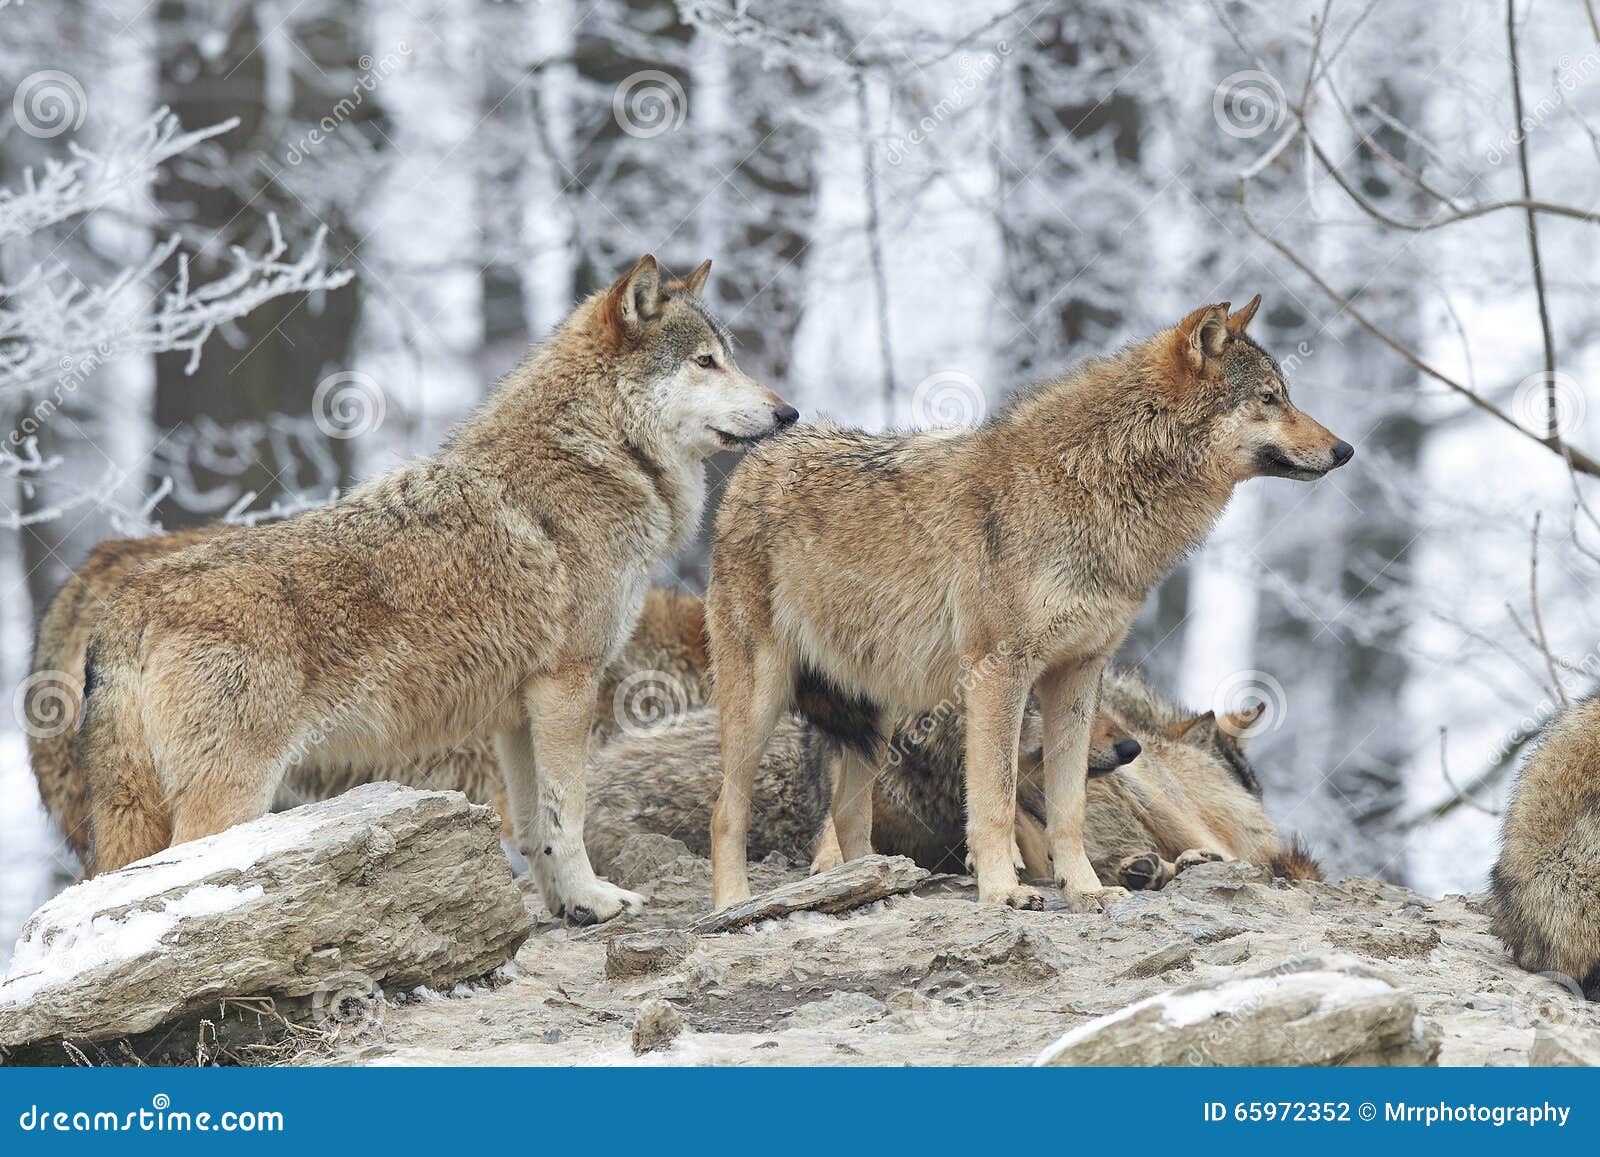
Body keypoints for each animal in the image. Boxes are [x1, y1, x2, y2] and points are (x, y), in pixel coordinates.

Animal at [78, 255, 793, 924]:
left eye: (728, 357)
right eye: (707, 362)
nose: (787, 412)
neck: (596, 455)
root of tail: (131, 602)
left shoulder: (517, 713)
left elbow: (535, 829)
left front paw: (567, 907)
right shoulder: (568, 686)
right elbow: (569, 814)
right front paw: (596, 898)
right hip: (233, 797)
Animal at [707, 294, 1352, 913]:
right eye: (1270, 398)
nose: (1345, 449)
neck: (1093, 488)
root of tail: (752, 465)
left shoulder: (1078, 673)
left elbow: (1069, 810)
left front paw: (1087, 892)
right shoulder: (999, 672)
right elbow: (995, 800)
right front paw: (1003, 891)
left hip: (878, 714)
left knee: (847, 814)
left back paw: (873, 884)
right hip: (762, 700)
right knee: (726, 810)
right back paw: (733, 905)